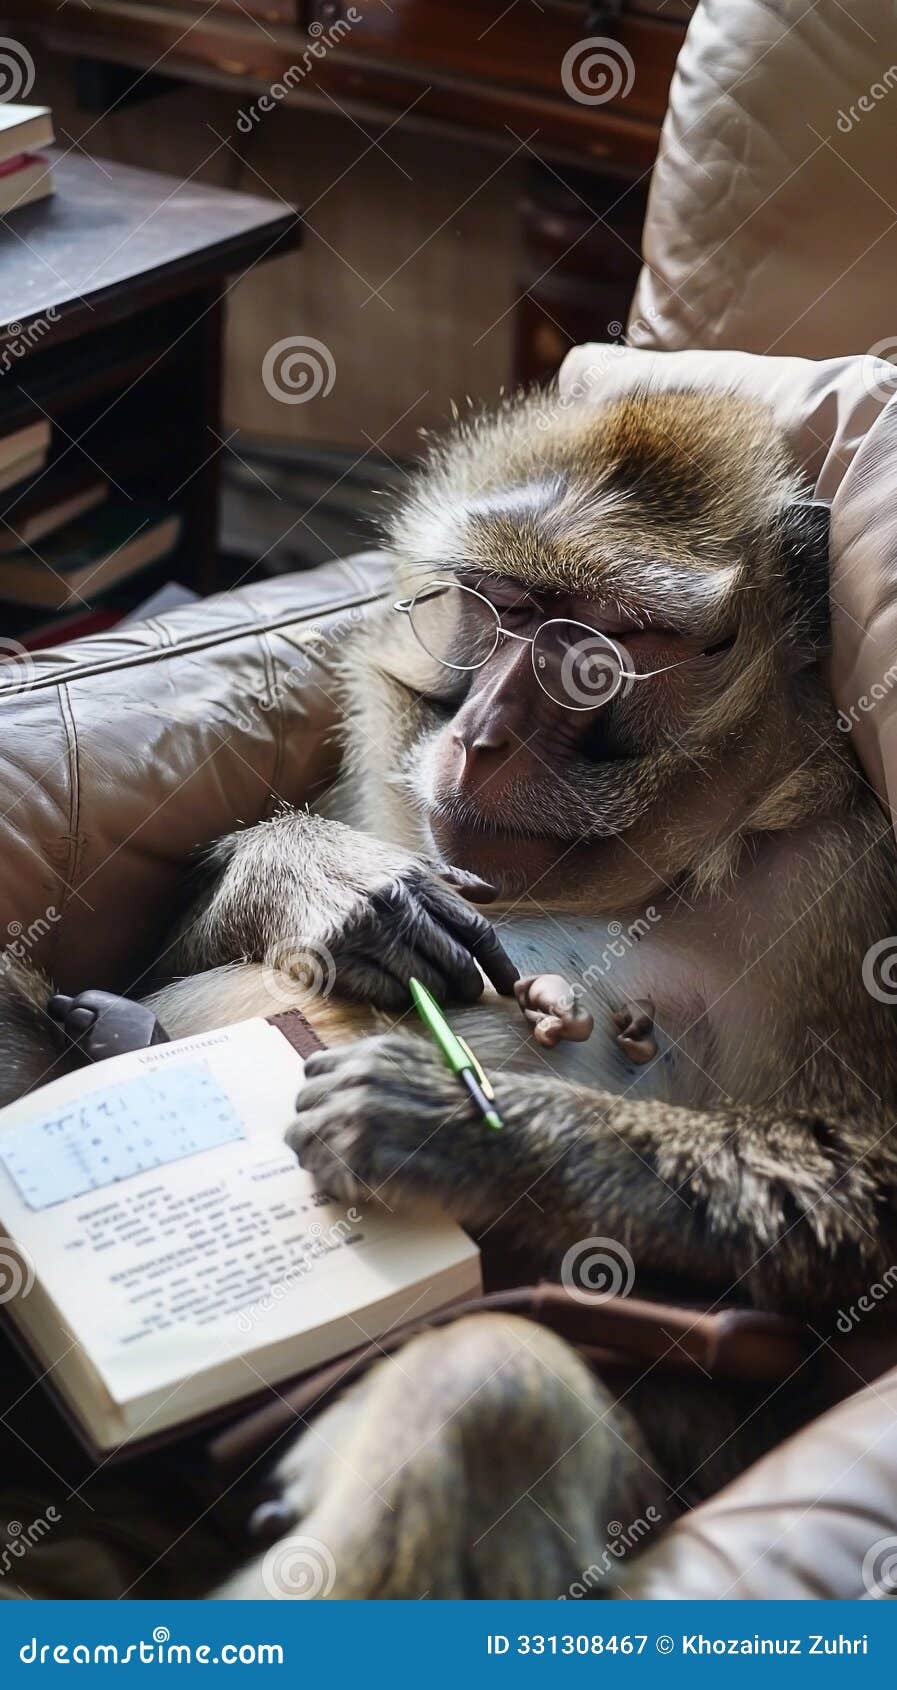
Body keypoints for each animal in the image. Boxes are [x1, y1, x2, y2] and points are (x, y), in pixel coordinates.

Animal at [5, 386, 897, 1600]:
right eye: (499, 607)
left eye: (598, 650)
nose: (479, 737)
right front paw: (336, 888)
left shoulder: (848, 884)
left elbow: (856, 1190)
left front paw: (460, 1129)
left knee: (486, 1385)